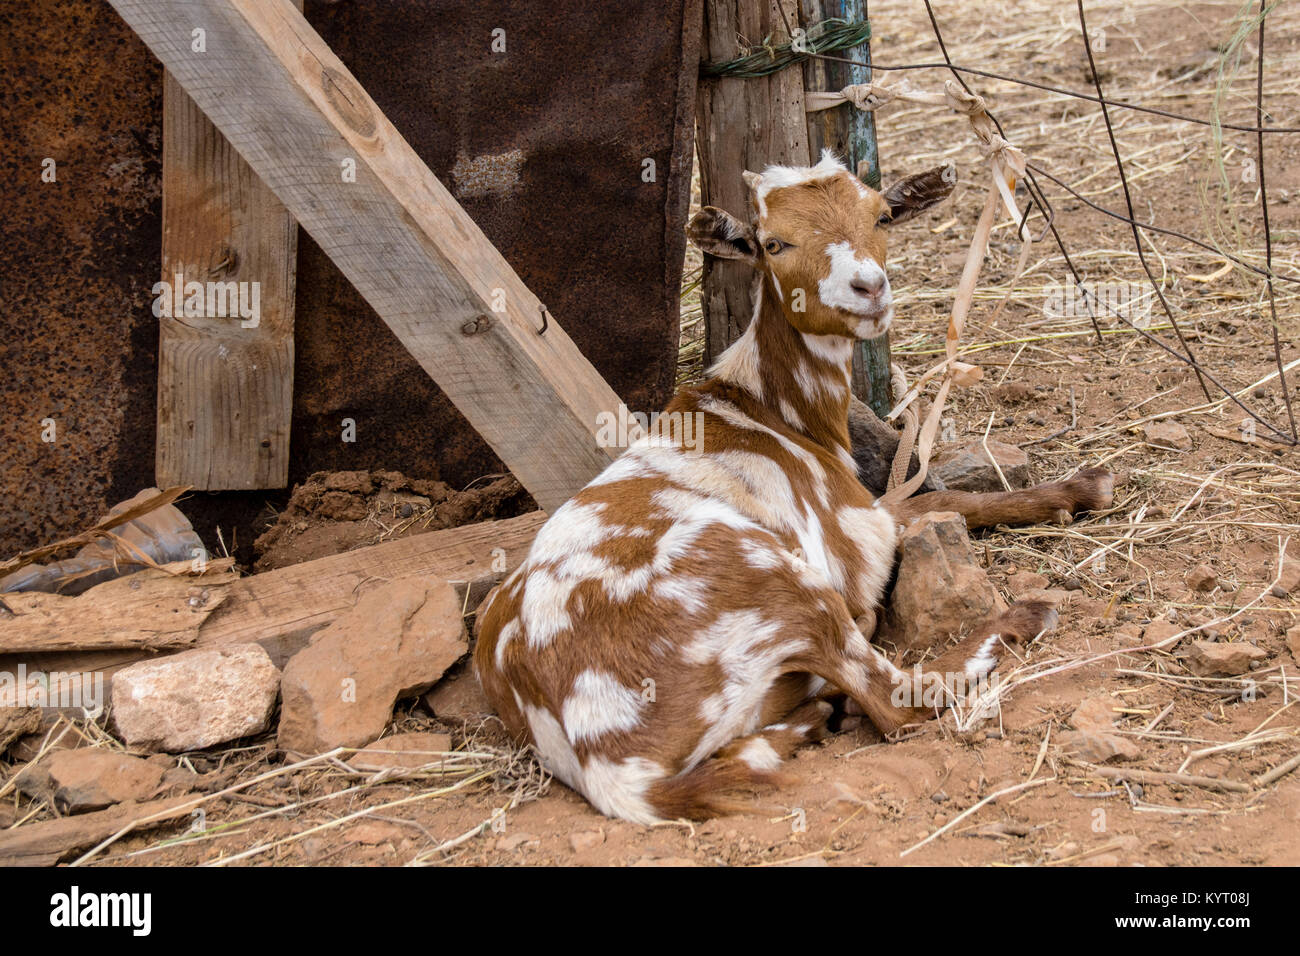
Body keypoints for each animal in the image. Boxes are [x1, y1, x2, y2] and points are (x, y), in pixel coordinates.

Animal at [473, 152, 1113, 824]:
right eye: (772, 243)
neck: (769, 409)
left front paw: (1077, 490)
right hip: (772, 579)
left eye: (882, 215)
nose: (869, 288)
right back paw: (1022, 617)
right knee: (895, 699)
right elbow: (940, 502)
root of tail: (612, 764)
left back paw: (809, 716)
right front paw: (1087, 487)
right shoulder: (856, 535)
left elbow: (939, 499)